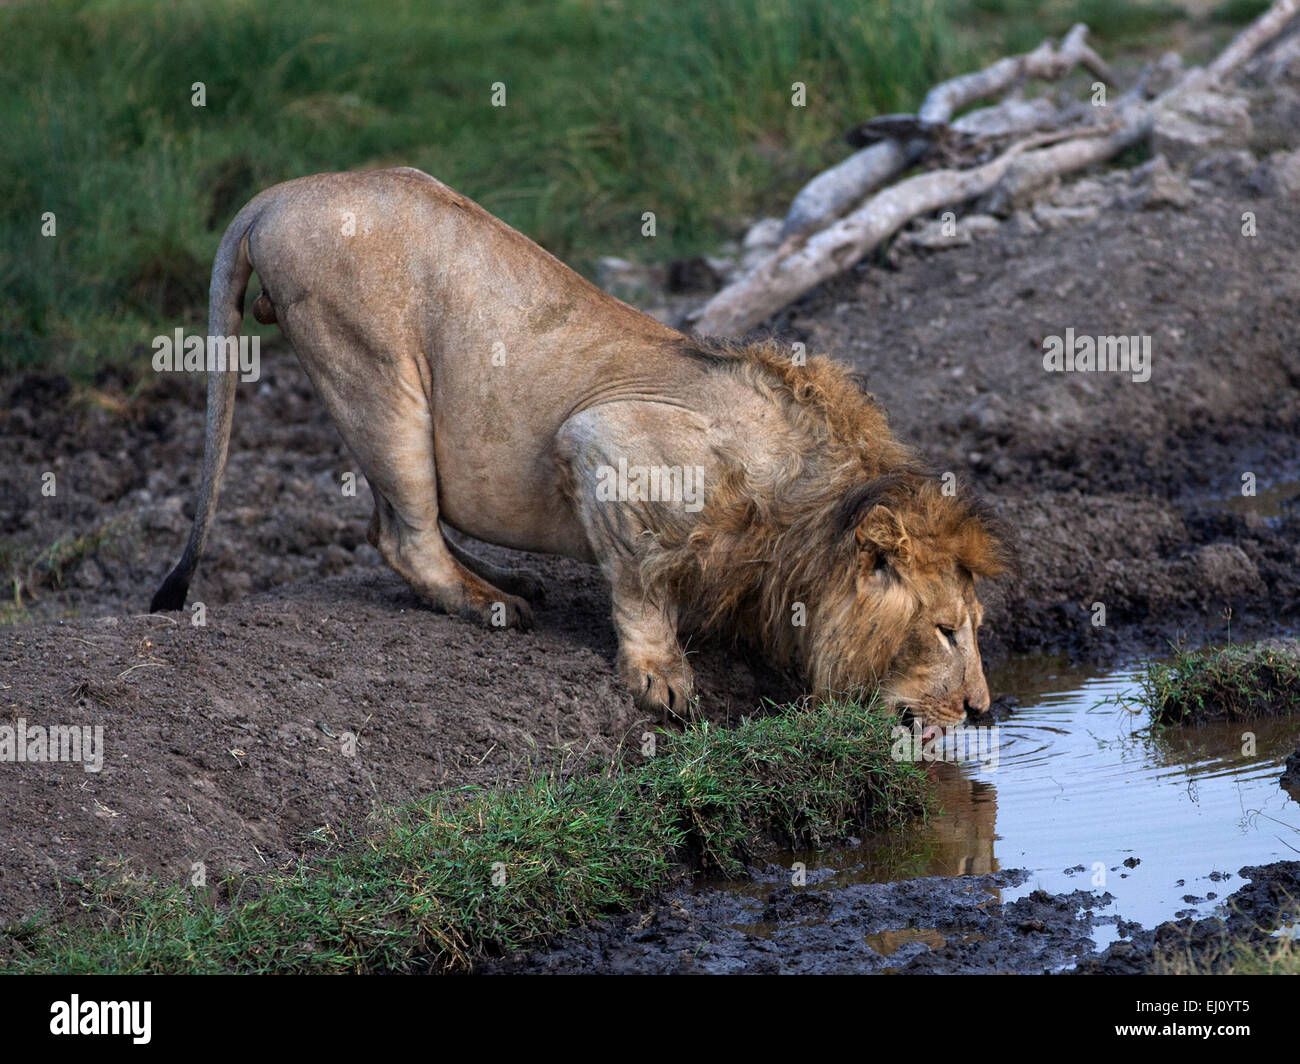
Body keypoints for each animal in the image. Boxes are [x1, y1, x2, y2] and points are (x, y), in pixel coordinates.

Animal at [151, 167, 1008, 732]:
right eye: (944, 630)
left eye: (973, 627)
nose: (981, 711)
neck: (812, 511)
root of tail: (280, 191)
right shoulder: (604, 439)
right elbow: (639, 585)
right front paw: (663, 679)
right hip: (375, 369)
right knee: (403, 534)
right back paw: (489, 603)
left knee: (387, 523)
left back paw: (496, 576)